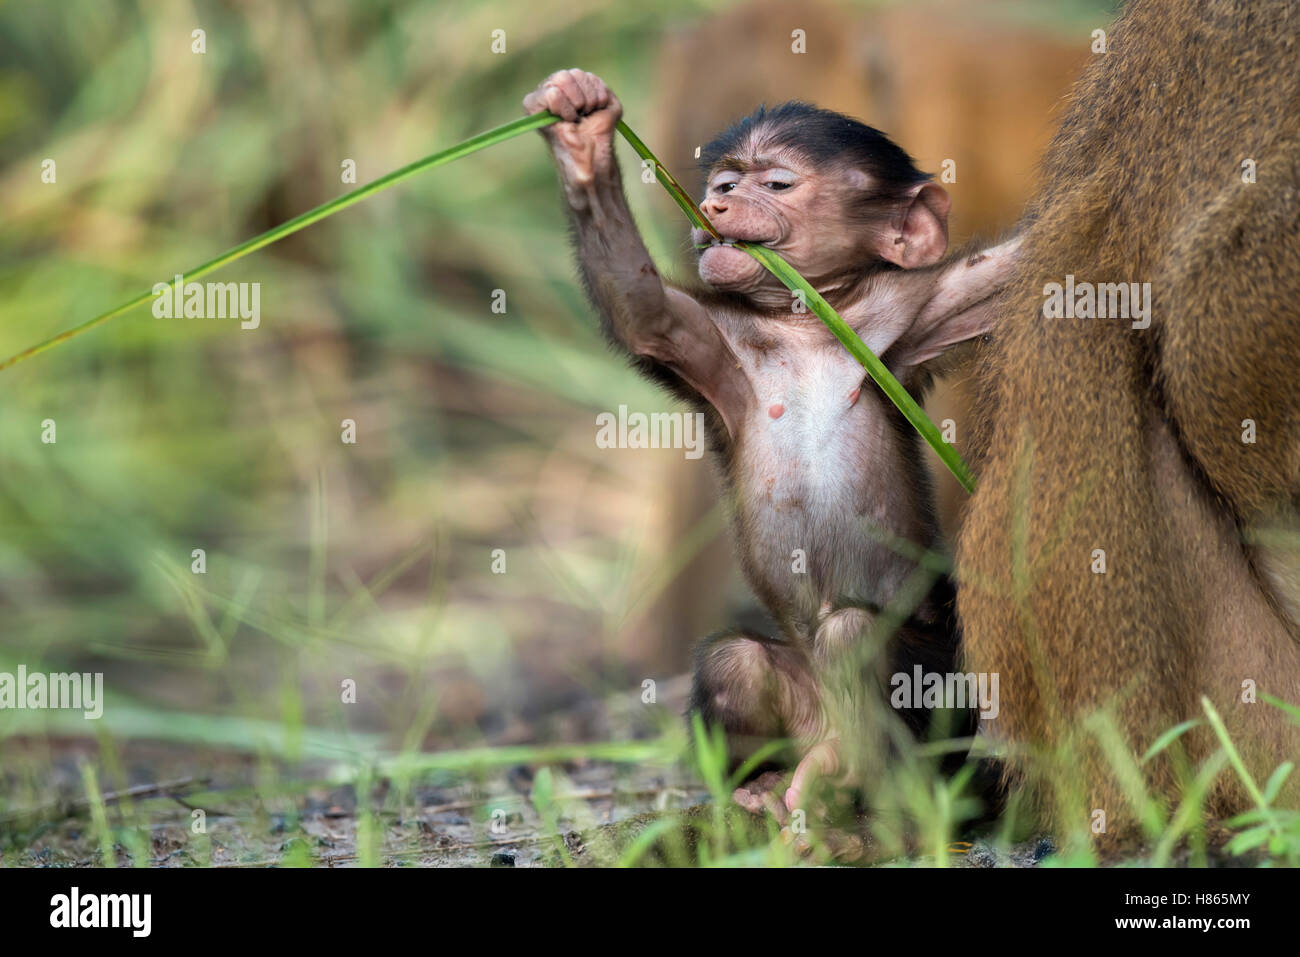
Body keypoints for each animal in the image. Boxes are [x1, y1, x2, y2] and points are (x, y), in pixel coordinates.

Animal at [524, 69, 1018, 821]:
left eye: (777, 183)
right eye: (727, 179)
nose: (719, 201)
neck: (802, 319)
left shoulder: (921, 313)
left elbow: (1021, 272)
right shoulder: (710, 335)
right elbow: (642, 308)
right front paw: (582, 132)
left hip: (944, 708)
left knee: (852, 635)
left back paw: (847, 771)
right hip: (799, 701)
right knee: (736, 661)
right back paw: (768, 783)